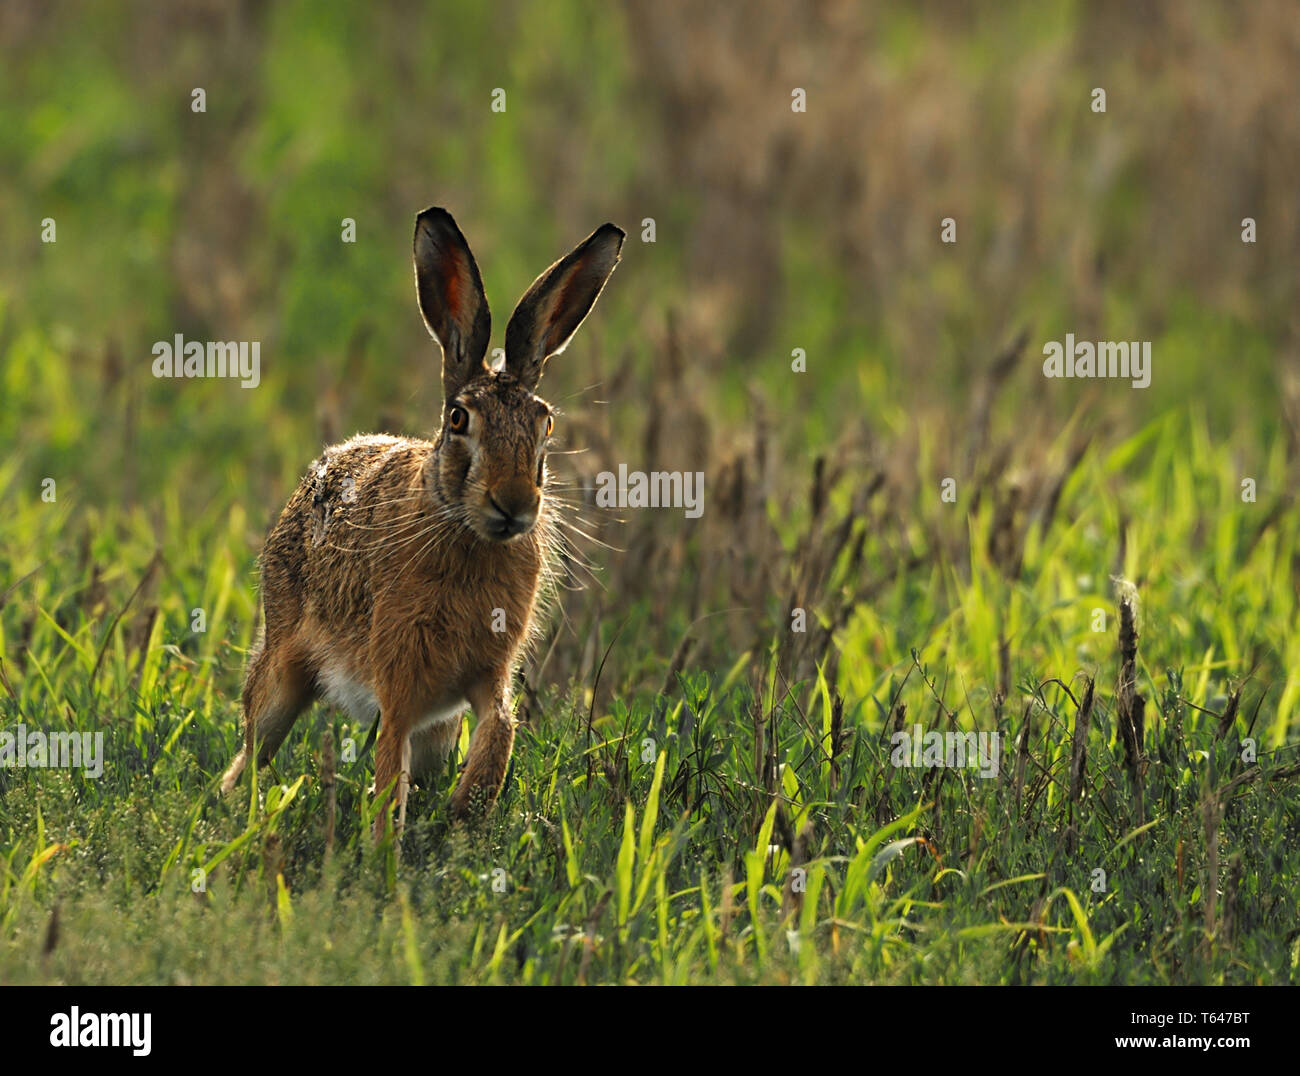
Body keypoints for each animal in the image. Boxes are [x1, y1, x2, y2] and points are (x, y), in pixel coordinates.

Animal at [220, 206, 624, 840]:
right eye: (459, 419)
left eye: (546, 424)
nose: (514, 503)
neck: (461, 525)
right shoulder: (398, 681)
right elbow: (389, 759)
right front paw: (386, 847)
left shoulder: (486, 675)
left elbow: (501, 728)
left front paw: (464, 812)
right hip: (283, 668)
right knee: (255, 742)